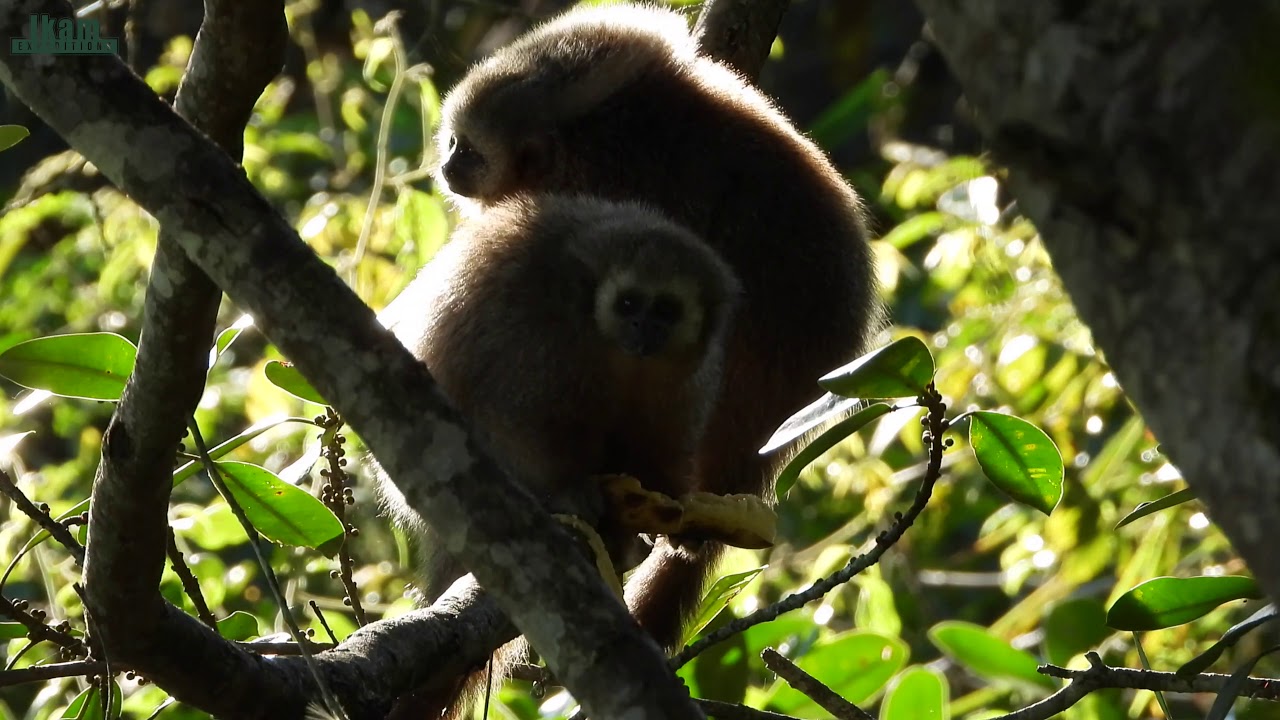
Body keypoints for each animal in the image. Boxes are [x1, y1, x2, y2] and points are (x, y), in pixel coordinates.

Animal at [370, 192, 743, 718]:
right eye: (629, 302)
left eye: (666, 310)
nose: (642, 327)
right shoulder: (544, 336)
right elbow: (517, 415)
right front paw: (570, 492)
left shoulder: (686, 377)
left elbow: (657, 446)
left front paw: (676, 515)